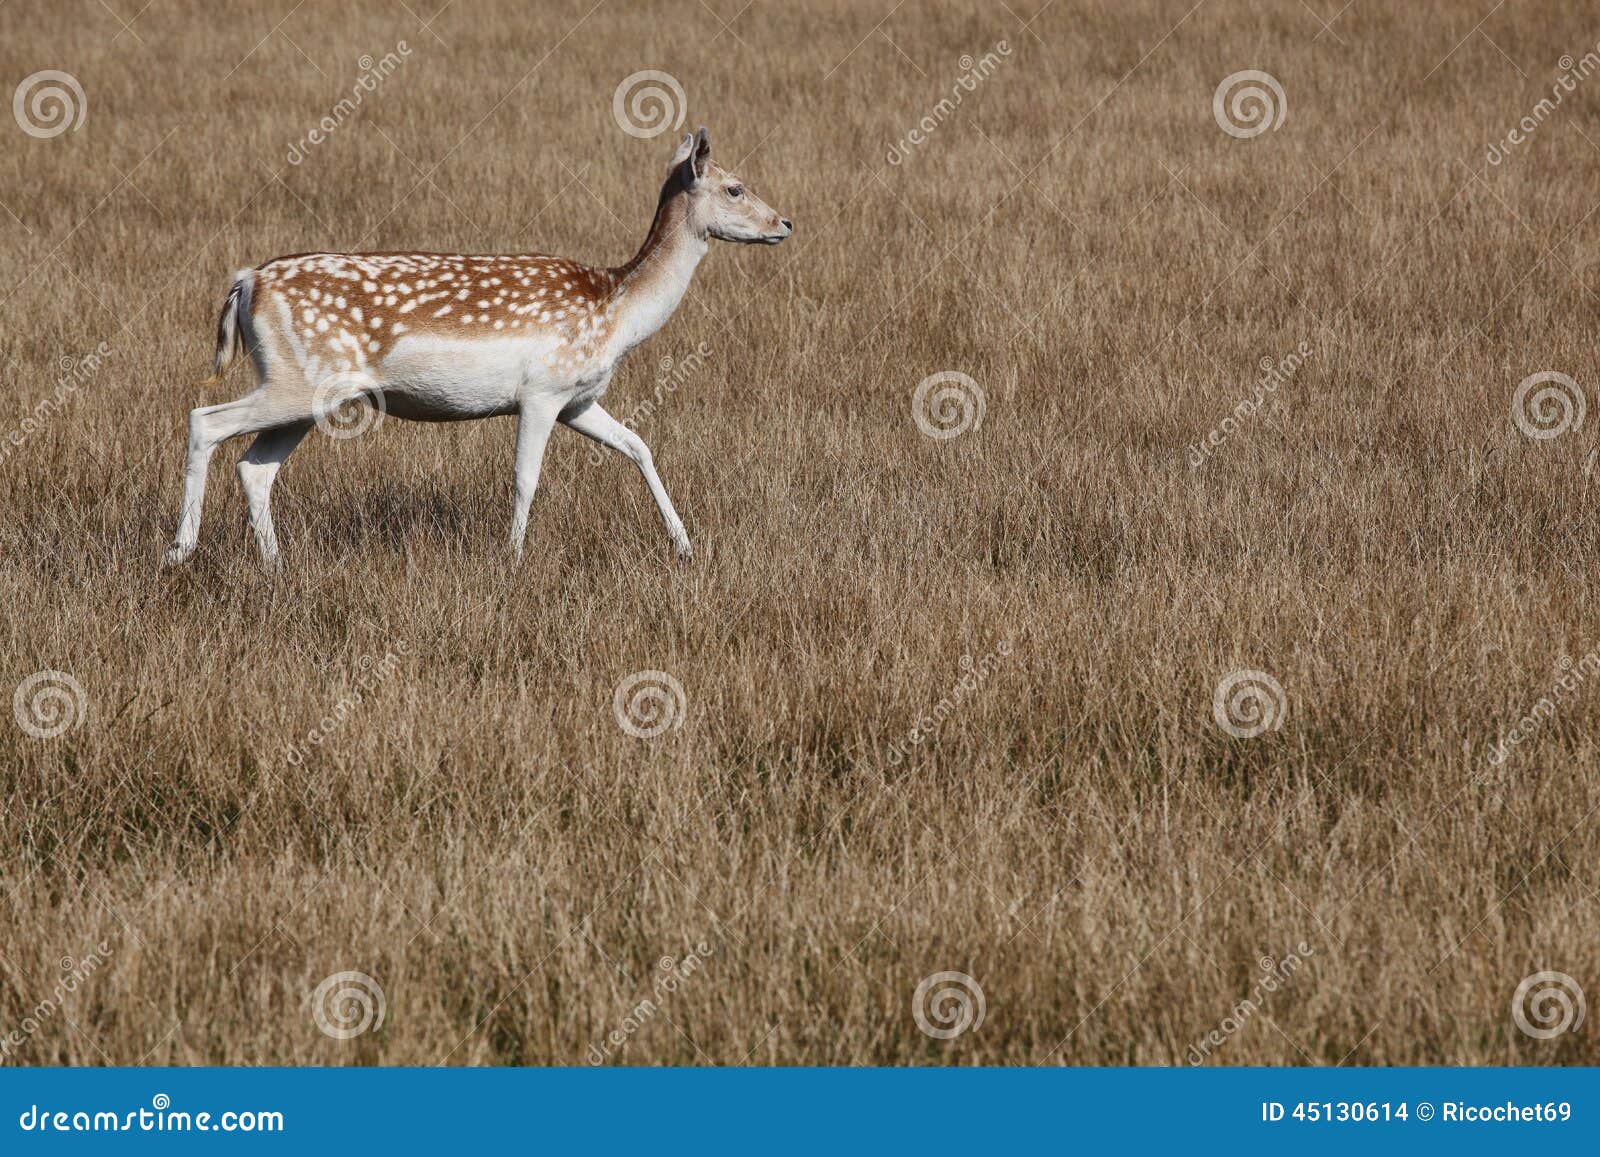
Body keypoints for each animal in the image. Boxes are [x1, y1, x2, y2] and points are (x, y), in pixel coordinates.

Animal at [163, 126, 791, 570]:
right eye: (735, 187)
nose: (784, 222)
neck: (615, 312)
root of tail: (246, 283)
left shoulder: (579, 398)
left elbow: (638, 445)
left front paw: (684, 544)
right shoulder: (542, 390)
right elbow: (526, 476)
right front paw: (511, 559)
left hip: (309, 391)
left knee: (255, 466)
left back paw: (274, 565)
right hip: (297, 378)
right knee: (205, 419)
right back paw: (179, 551)